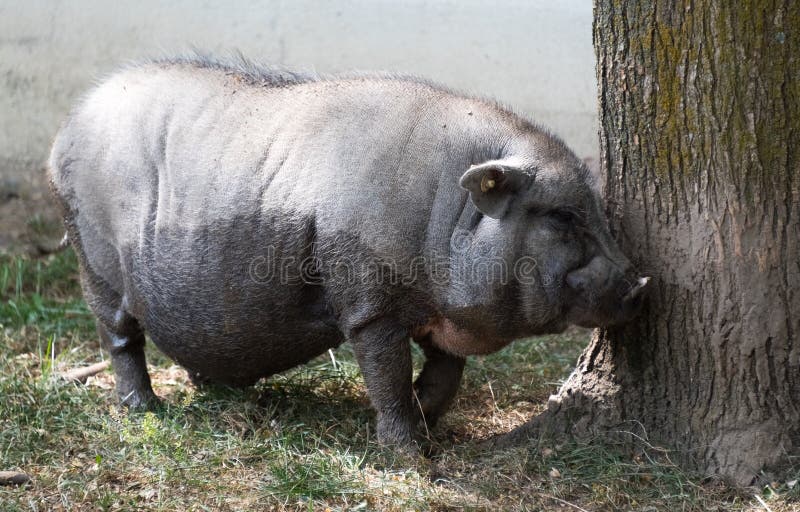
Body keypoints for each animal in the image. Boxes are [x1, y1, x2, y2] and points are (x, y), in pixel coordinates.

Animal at [48, 54, 647, 446]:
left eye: (599, 212)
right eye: (563, 216)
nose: (642, 283)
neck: (442, 212)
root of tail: (65, 133)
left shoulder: (439, 312)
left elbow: (446, 373)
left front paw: (427, 422)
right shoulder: (367, 299)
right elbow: (386, 371)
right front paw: (409, 452)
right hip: (95, 258)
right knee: (119, 334)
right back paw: (146, 411)